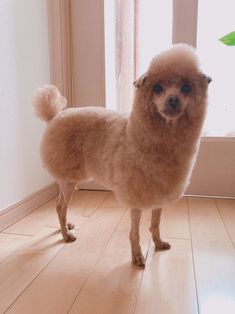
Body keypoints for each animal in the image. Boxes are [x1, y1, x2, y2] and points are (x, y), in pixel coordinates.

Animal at [33, 44, 211, 266]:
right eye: (157, 88)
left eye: (186, 88)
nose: (173, 100)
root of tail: (55, 116)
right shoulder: (136, 197)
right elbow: (134, 232)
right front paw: (137, 255)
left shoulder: (159, 194)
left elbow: (155, 224)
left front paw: (158, 243)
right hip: (67, 177)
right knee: (59, 206)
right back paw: (66, 235)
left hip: (68, 179)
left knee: (60, 204)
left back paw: (66, 226)